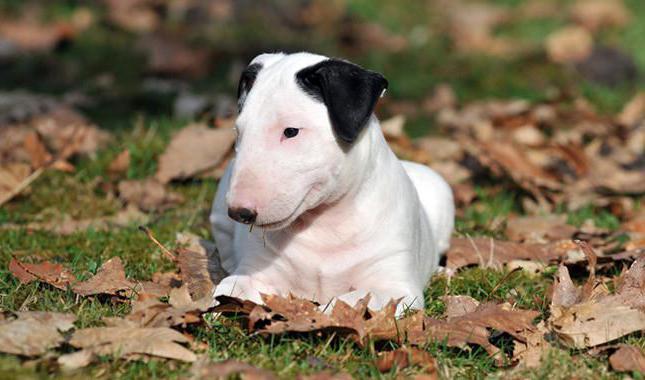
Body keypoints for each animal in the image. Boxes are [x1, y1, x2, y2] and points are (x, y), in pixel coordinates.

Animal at [211, 52, 452, 314]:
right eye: (238, 132)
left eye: (291, 131)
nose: (239, 212)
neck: (325, 223)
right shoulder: (256, 273)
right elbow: (227, 291)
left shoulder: (395, 288)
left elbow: (349, 299)